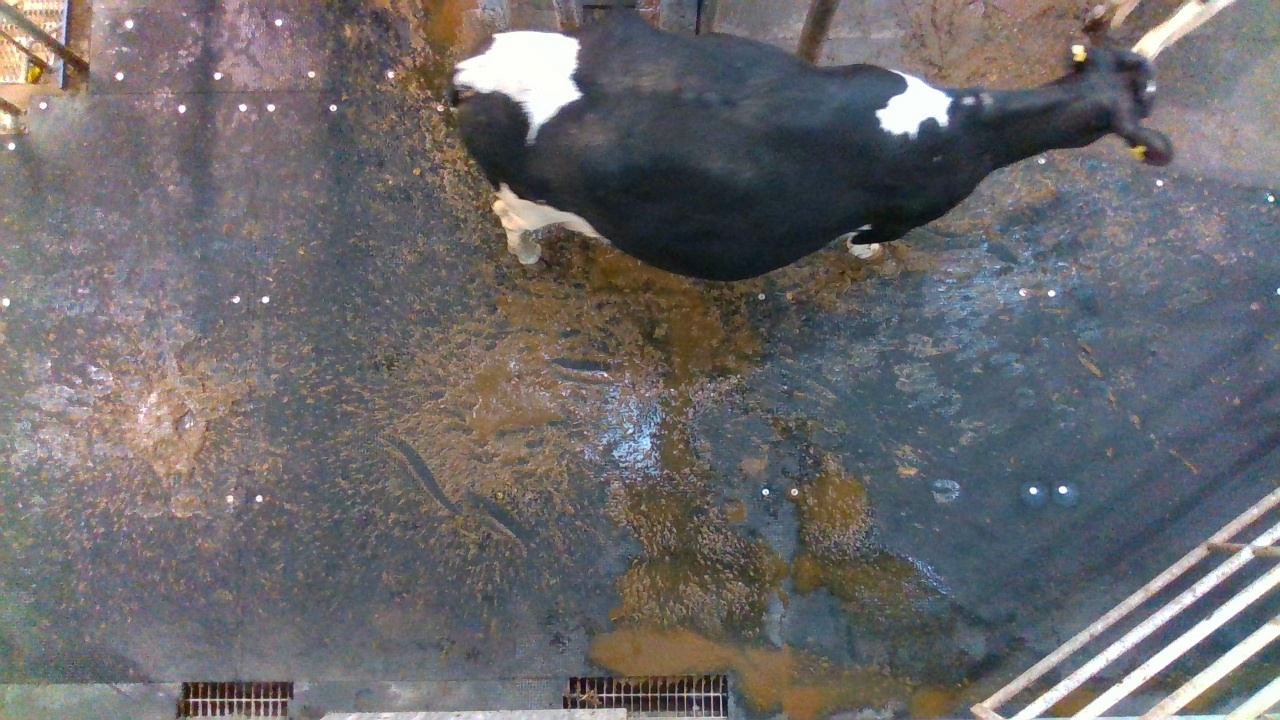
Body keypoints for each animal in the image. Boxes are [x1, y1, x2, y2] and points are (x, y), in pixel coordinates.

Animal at [450, 12, 1172, 282]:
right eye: (1146, 97)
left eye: (1136, 77)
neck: (962, 126)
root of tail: (475, 69)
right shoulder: (902, 214)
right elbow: (869, 242)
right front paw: (868, 257)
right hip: (535, 198)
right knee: (510, 217)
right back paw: (529, 255)